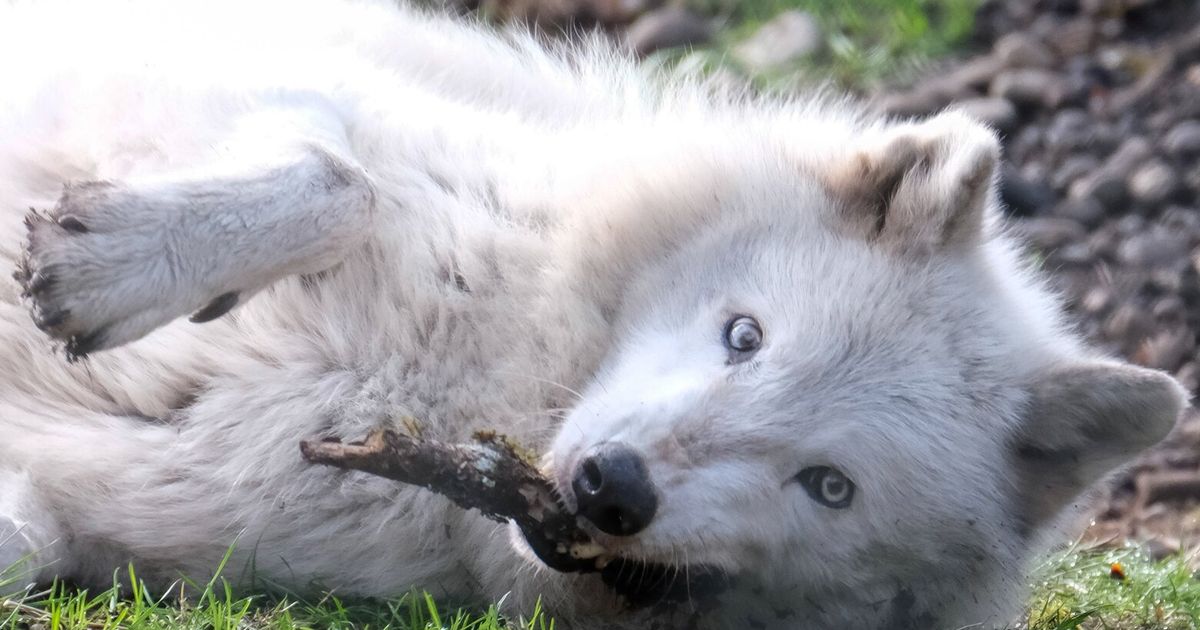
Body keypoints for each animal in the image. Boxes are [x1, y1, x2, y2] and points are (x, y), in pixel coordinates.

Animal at [0, 0, 1187, 628]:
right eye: (744, 336)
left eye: (830, 486)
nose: (612, 488)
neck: (484, 367)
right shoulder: (231, 81)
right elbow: (344, 178)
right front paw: (109, 267)